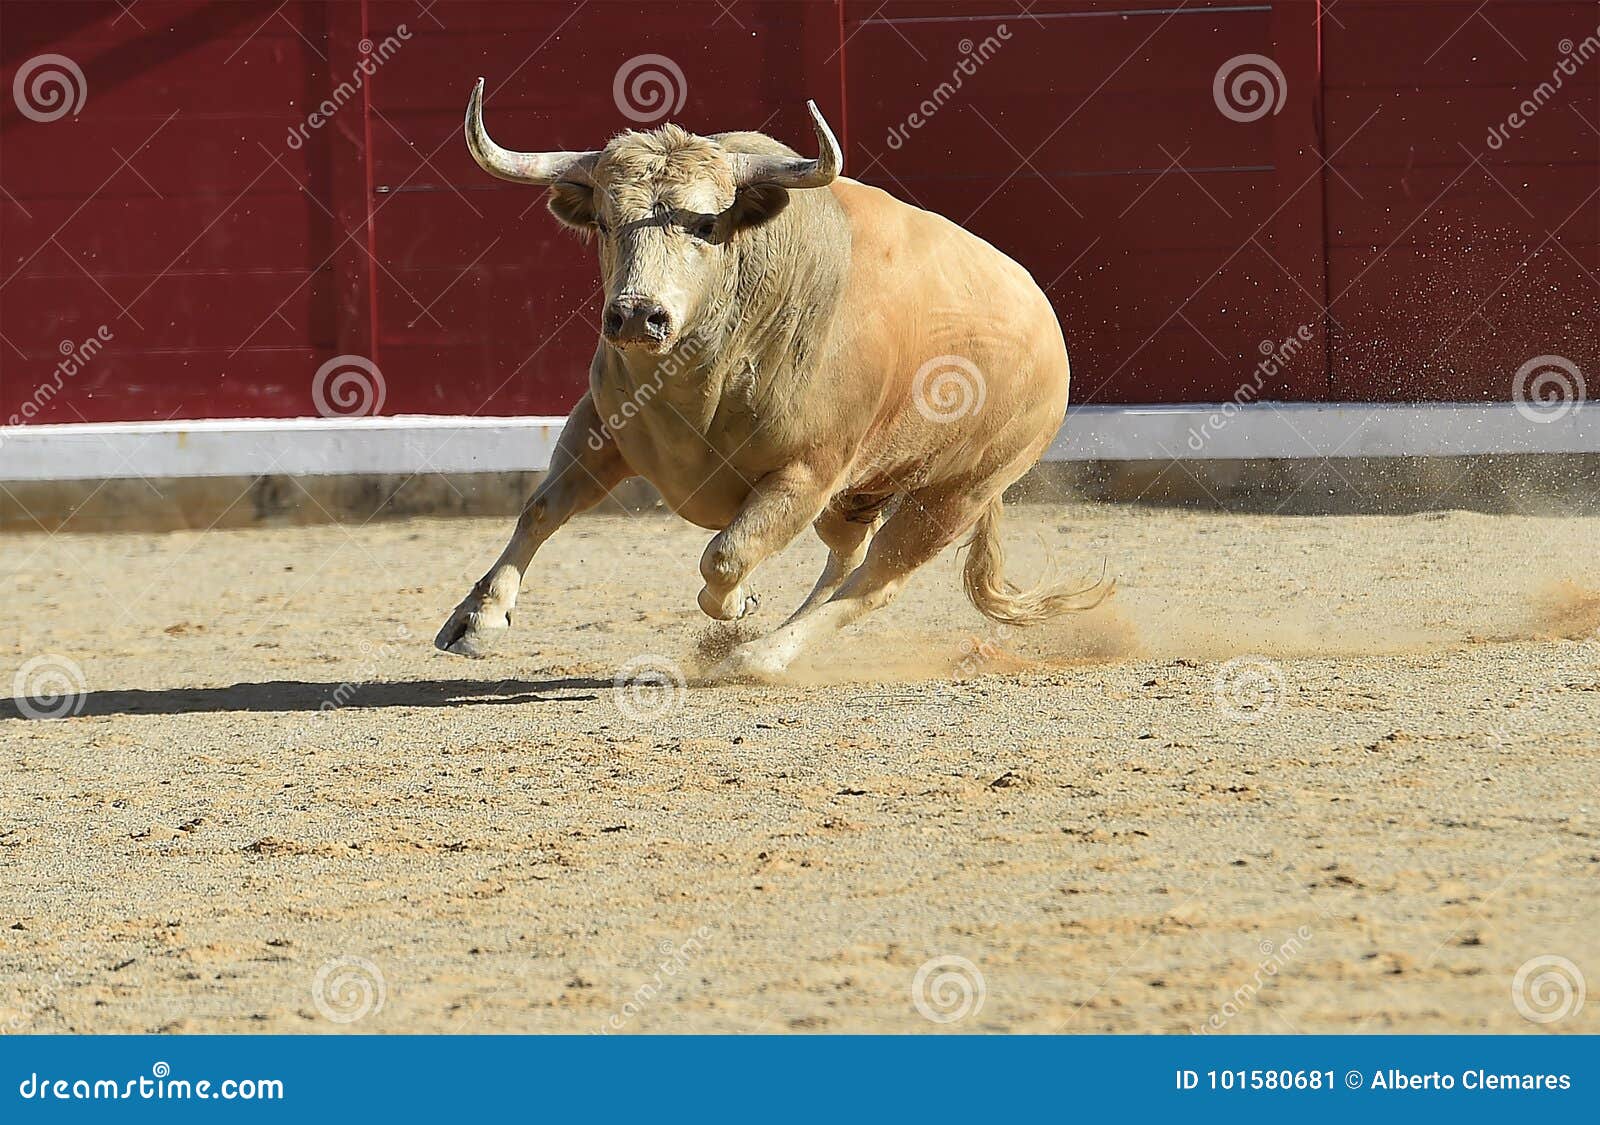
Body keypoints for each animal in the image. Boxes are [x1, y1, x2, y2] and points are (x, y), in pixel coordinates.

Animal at [435, 79, 1104, 680]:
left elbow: (725, 557)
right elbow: (542, 507)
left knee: (876, 581)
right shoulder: (601, 424)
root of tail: (1047, 330)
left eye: (705, 225)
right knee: (847, 558)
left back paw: (760, 656)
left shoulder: (806, 473)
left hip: (955, 494)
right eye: (603, 221)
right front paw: (476, 619)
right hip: (862, 493)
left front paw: (736, 607)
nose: (636, 314)